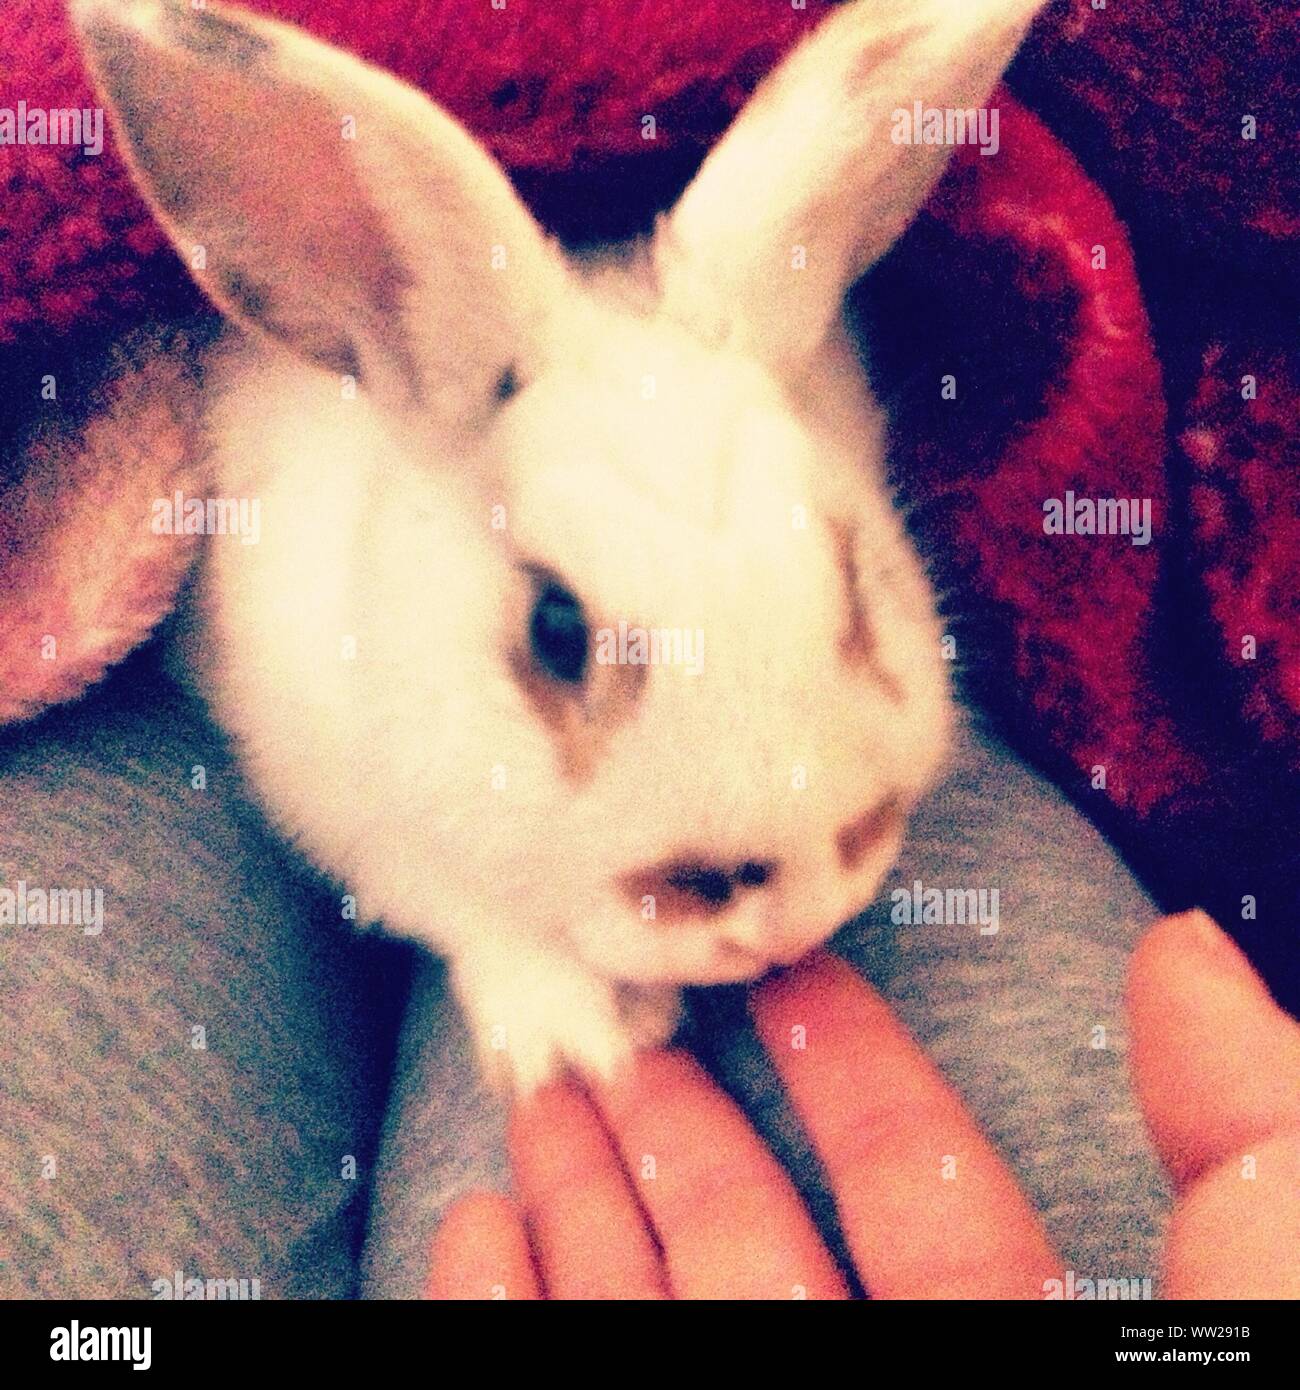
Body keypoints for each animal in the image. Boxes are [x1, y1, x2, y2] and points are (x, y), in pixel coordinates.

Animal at [71, 0, 1045, 1093]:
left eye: (851, 569)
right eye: (556, 631)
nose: (787, 911)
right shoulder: (352, 816)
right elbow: (473, 916)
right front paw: (580, 1037)